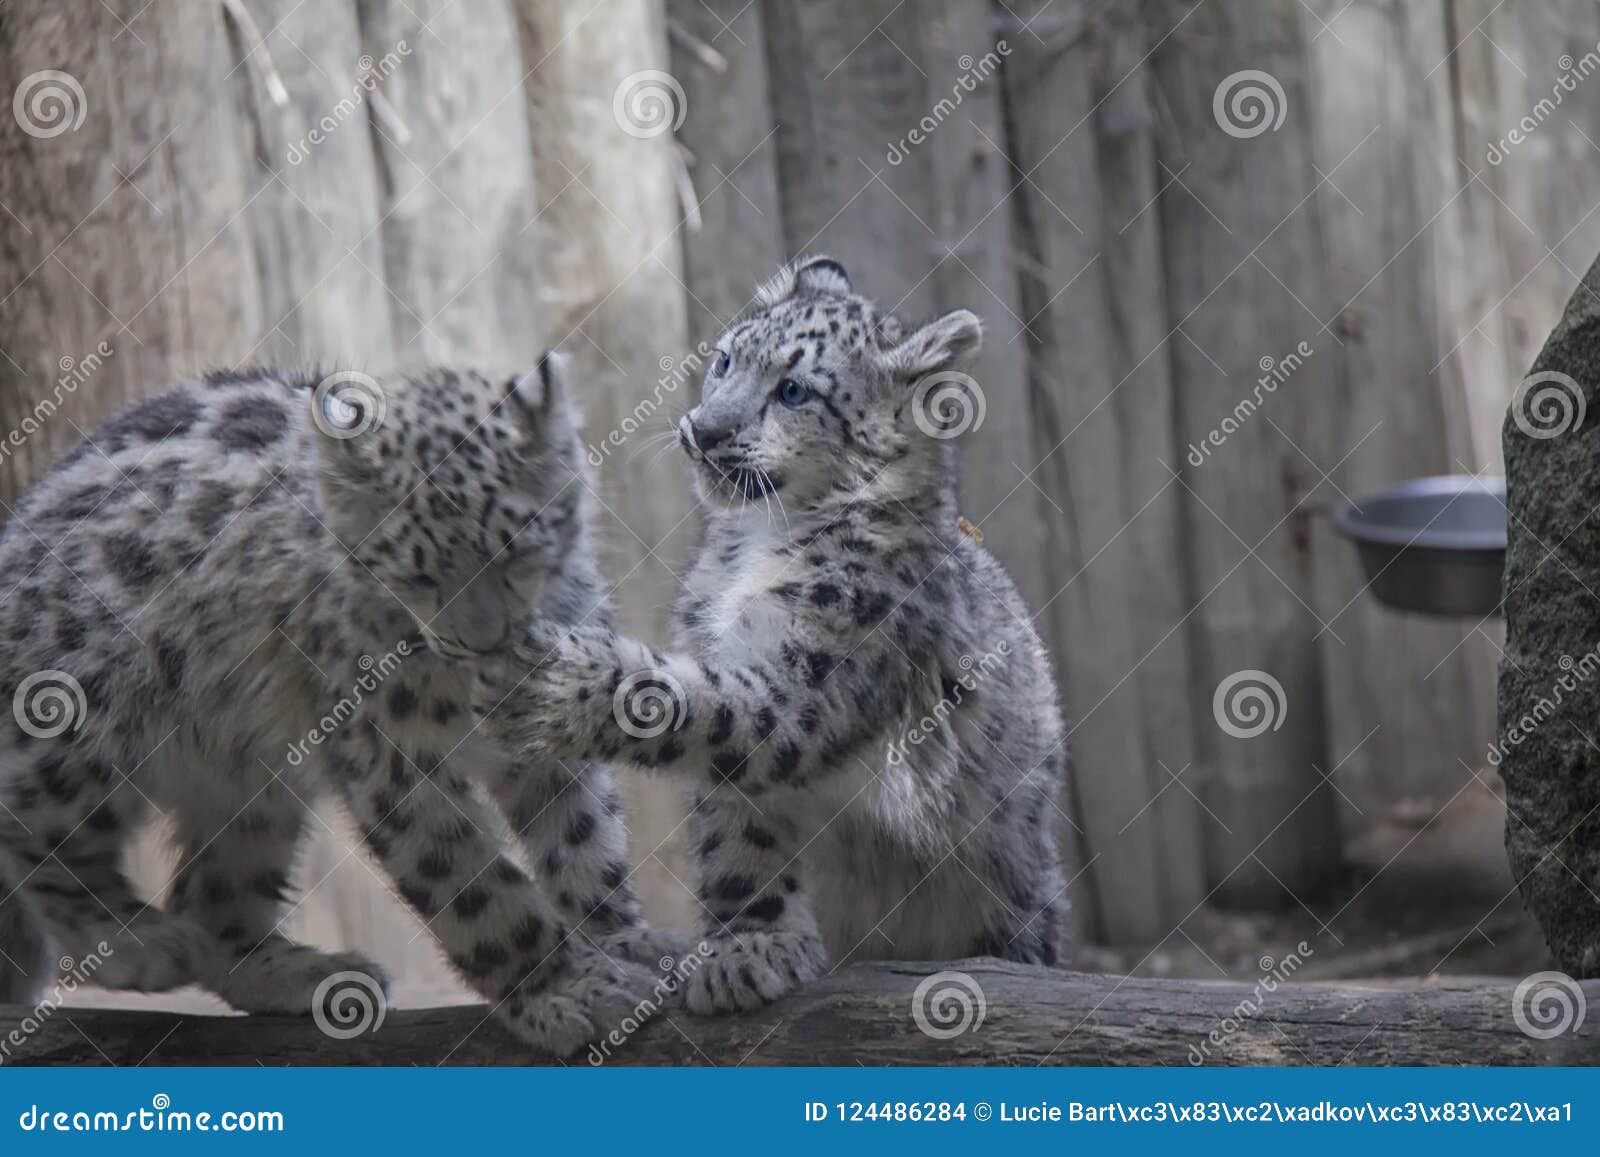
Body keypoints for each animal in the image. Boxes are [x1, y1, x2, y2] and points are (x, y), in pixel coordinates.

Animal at [0, 354, 675, 1056]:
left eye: (516, 547)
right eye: (416, 573)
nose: (480, 640)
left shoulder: (551, 742)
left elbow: (583, 839)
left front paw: (623, 941)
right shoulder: (394, 756)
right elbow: (475, 886)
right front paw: (568, 990)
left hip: (251, 789)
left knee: (215, 893)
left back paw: (298, 973)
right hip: (78, 727)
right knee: (32, 830)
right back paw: (140, 943)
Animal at [474, 257, 1069, 1014]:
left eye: (793, 390)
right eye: (726, 359)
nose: (704, 428)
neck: (756, 544)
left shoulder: (807, 676)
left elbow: (692, 707)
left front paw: (557, 680)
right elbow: (739, 834)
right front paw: (746, 946)